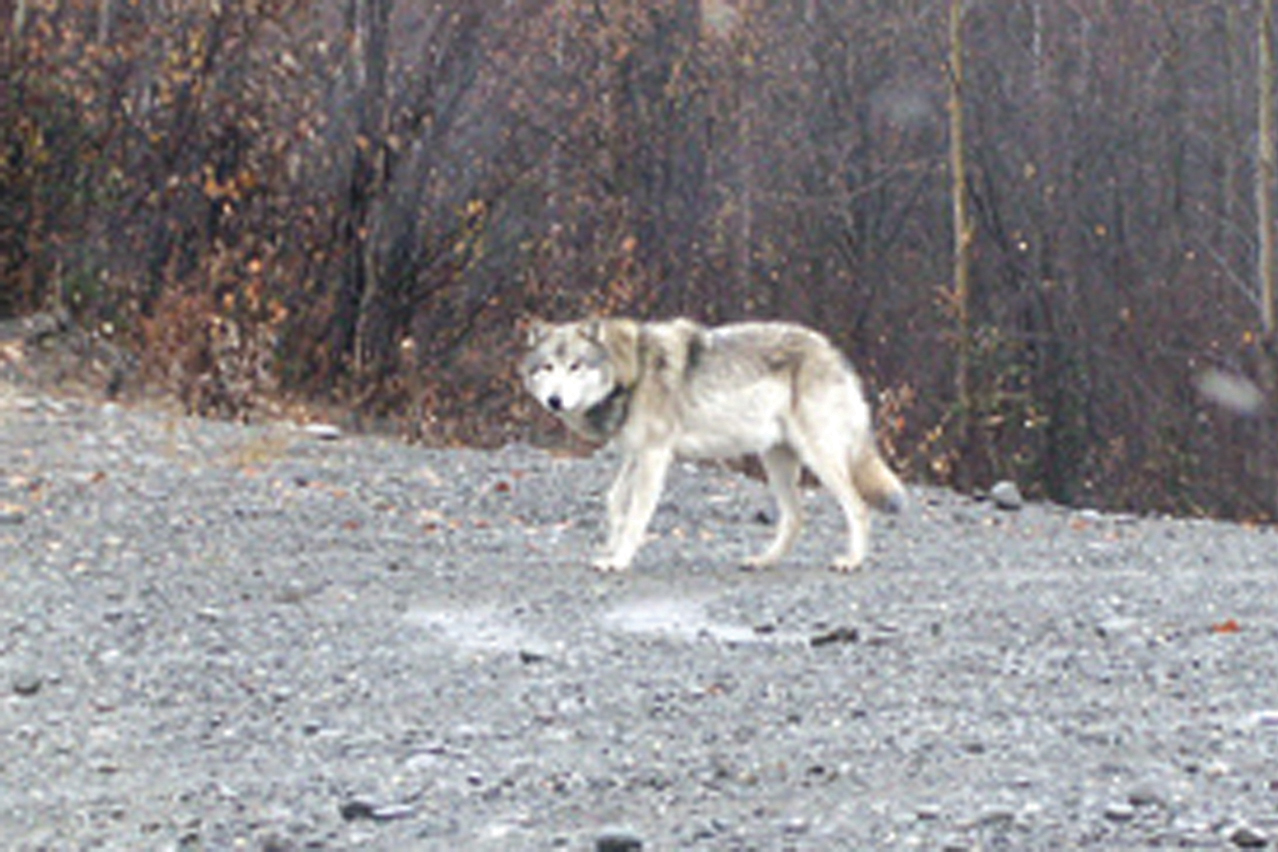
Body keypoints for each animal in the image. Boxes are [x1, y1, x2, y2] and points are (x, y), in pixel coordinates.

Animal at [521, 317, 906, 572]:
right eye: (548, 367)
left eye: (575, 366)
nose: (554, 400)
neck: (633, 372)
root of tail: (834, 351)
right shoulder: (635, 454)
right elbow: (615, 502)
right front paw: (608, 553)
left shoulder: (655, 455)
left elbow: (636, 516)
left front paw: (619, 561)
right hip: (776, 462)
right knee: (796, 516)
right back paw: (764, 560)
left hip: (818, 457)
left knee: (857, 506)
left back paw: (851, 561)